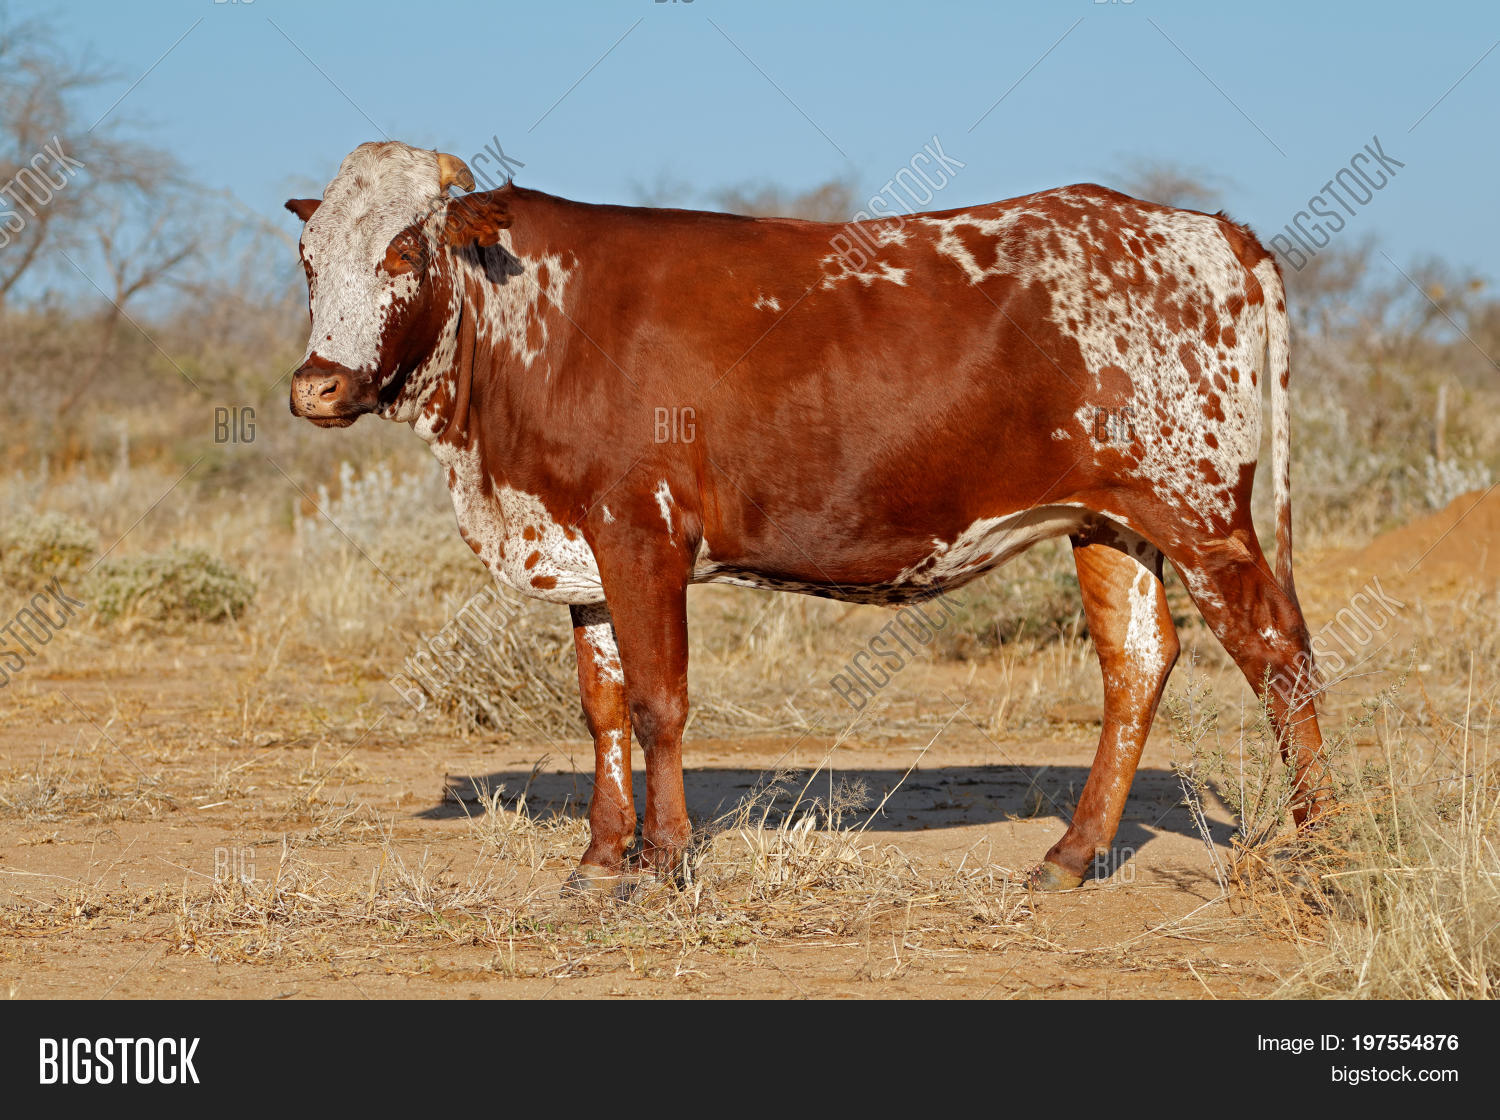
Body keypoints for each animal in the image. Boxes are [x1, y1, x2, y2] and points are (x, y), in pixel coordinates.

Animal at [285, 140, 1328, 893]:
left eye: (402, 249)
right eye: (306, 260)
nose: (315, 386)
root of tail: (1207, 227)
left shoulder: (640, 531)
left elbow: (659, 702)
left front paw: (659, 865)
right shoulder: (578, 546)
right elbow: (603, 707)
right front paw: (597, 859)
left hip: (1199, 505)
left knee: (1280, 652)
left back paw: (1316, 848)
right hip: (1109, 518)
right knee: (1140, 661)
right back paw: (1068, 858)